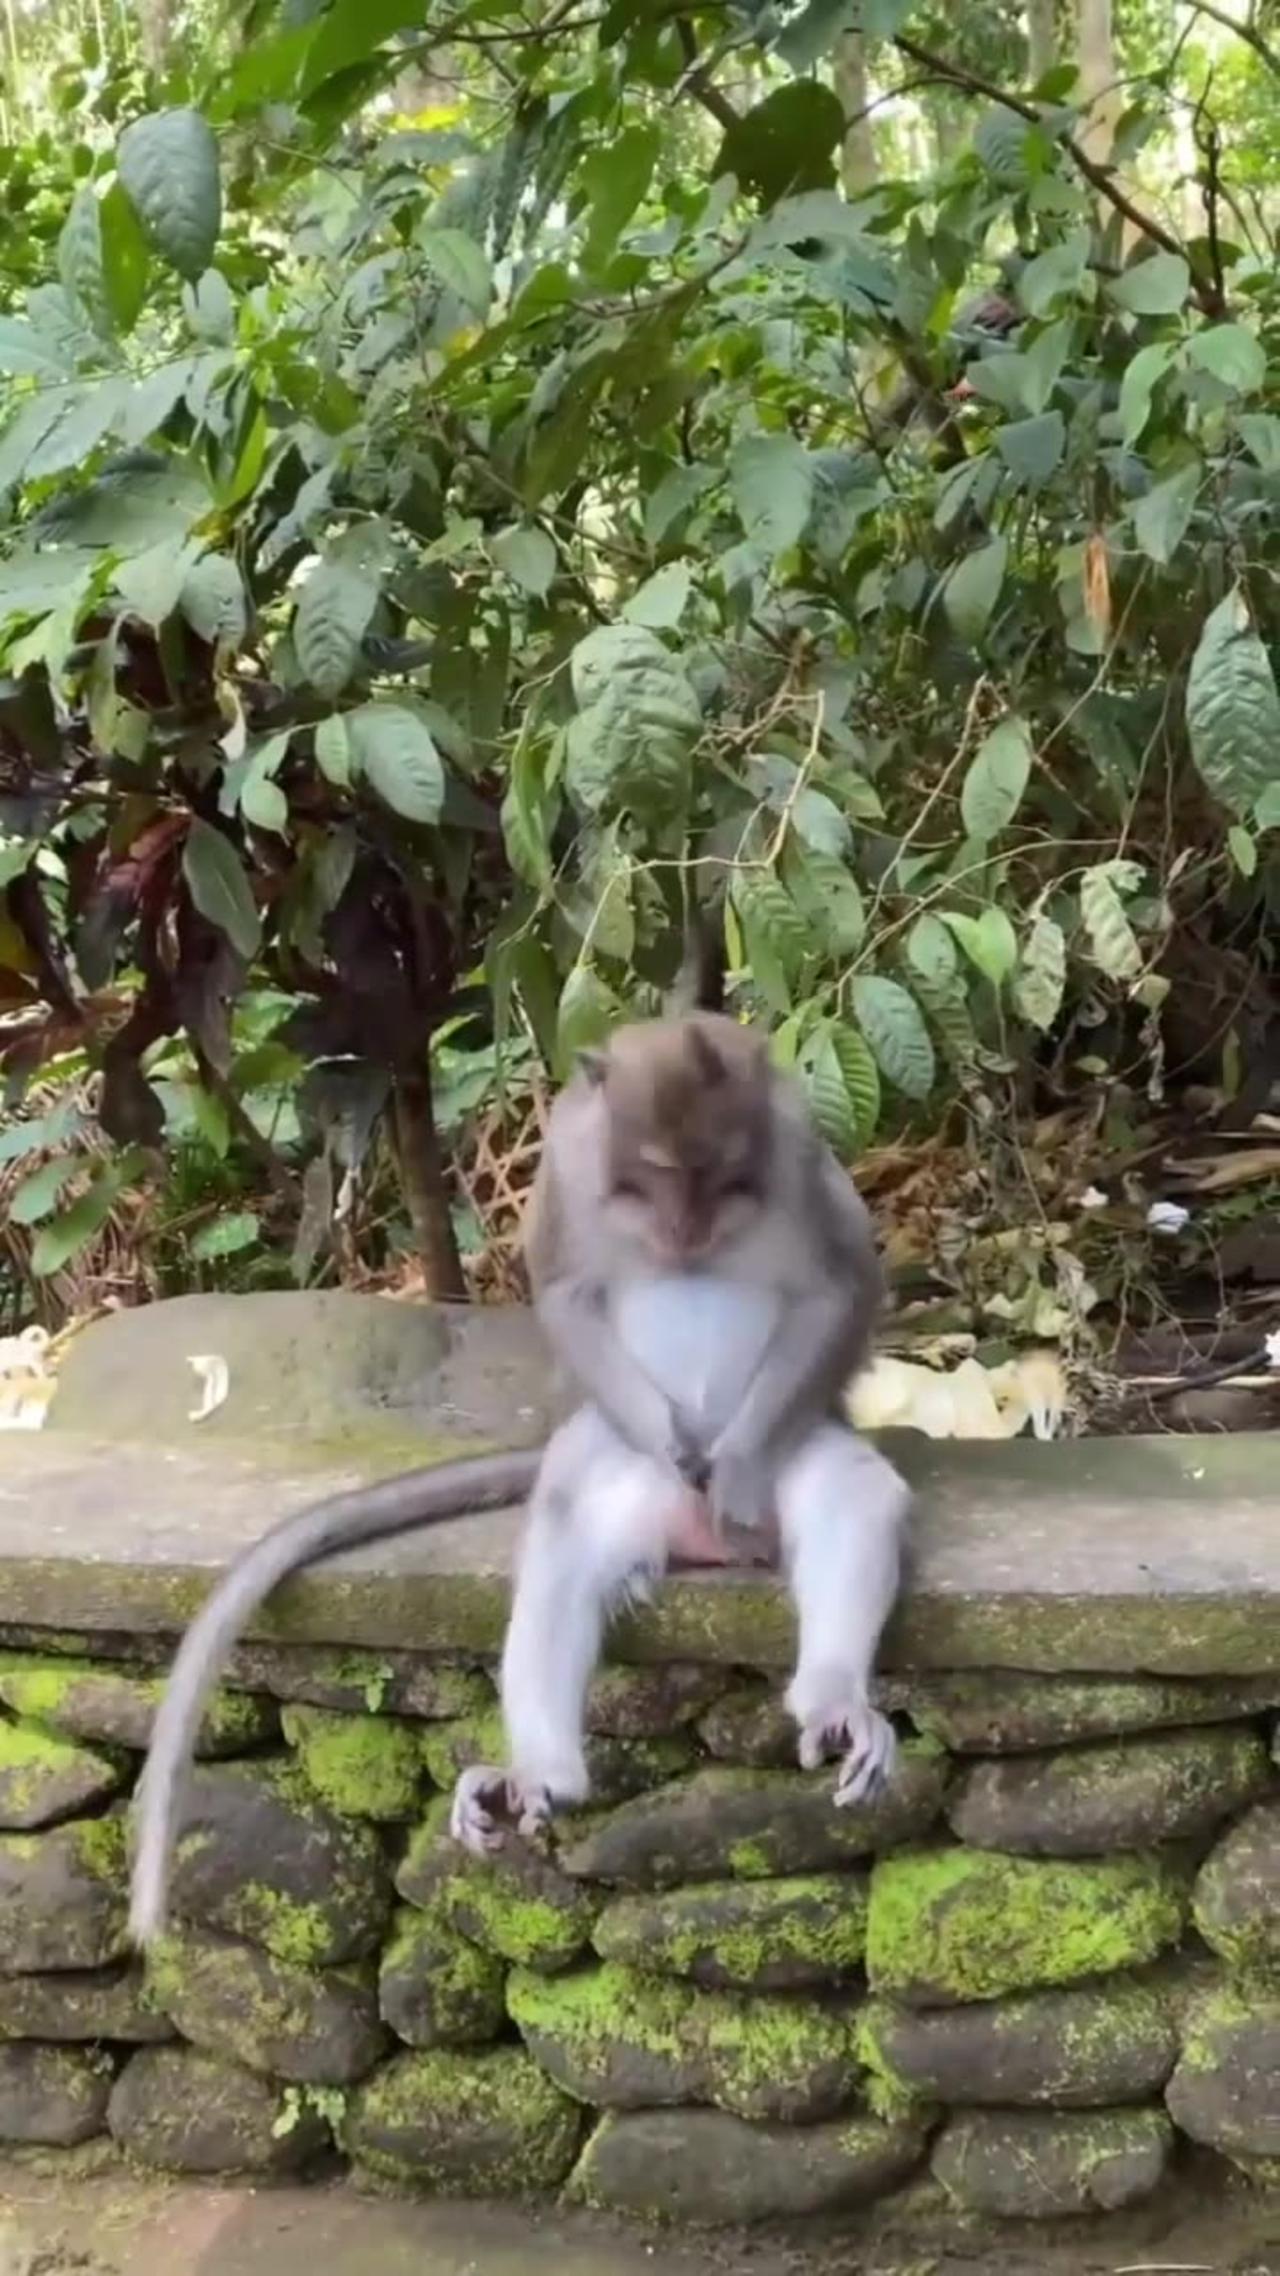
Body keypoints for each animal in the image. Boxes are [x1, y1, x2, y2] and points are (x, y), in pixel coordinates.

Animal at [128, 1010, 906, 1945]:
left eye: (721, 1174)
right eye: (652, 1174)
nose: (685, 1237)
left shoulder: (794, 1153)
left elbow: (834, 1291)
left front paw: (739, 1473)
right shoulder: (567, 1165)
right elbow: (567, 1292)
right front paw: (673, 1442)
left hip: (799, 1449)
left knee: (850, 1494)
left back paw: (833, 1703)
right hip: (617, 1474)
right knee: (565, 1533)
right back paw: (538, 1774)